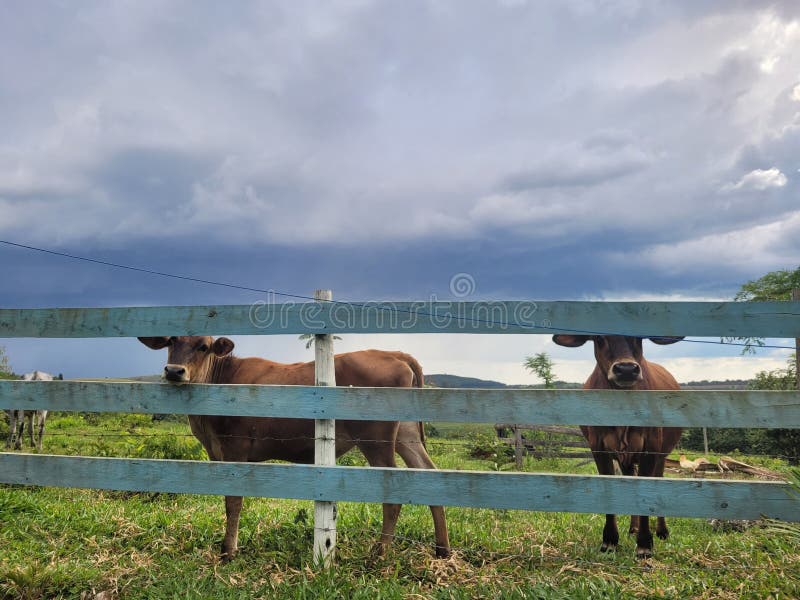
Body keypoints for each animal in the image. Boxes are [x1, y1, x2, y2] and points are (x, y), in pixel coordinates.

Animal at [138, 335, 450, 561]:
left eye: (203, 346)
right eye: (171, 341)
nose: (174, 371)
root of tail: (394, 353)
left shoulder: (234, 449)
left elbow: (233, 501)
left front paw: (228, 552)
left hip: (377, 440)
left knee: (393, 494)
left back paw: (380, 555)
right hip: (407, 435)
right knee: (429, 476)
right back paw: (442, 550)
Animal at [552, 334, 683, 559]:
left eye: (640, 338)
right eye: (598, 339)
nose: (626, 369)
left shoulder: (651, 449)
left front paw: (644, 544)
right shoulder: (599, 449)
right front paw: (610, 541)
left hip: (661, 454)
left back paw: (661, 531)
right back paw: (633, 528)